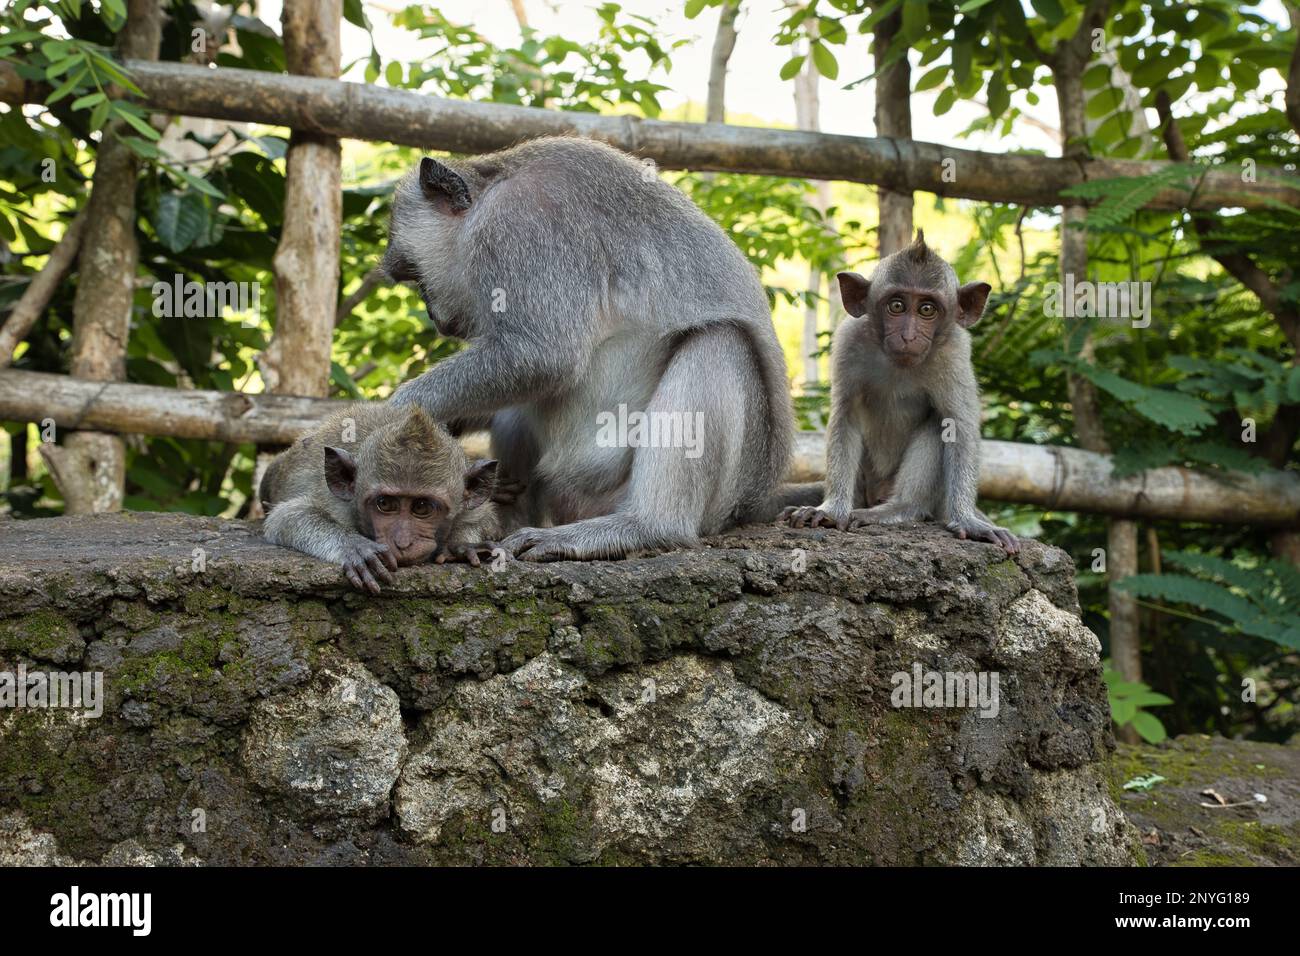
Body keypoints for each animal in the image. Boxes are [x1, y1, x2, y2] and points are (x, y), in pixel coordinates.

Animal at [258, 403, 501, 593]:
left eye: (422, 507)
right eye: (385, 504)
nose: (402, 543)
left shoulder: (470, 507)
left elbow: (483, 518)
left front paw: (460, 545)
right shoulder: (338, 504)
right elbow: (286, 517)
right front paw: (355, 546)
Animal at [381, 135, 795, 561]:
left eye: (416, 277)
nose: (432, 315)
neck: (490, 189)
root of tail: (757, 499)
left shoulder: (518, 223)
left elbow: (541, 357)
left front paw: (393, 413)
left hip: (717, 491)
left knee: (720, 341)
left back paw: (647, 526)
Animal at [781, 231, 1019, 554]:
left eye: (927, 309)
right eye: (896, 306)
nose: (908, 336)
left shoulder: (954, 353)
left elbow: (958, 425)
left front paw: (967, 521)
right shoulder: (849, 340)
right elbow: (846, 415)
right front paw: (831, 510)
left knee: (937, 426)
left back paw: (901, 508)